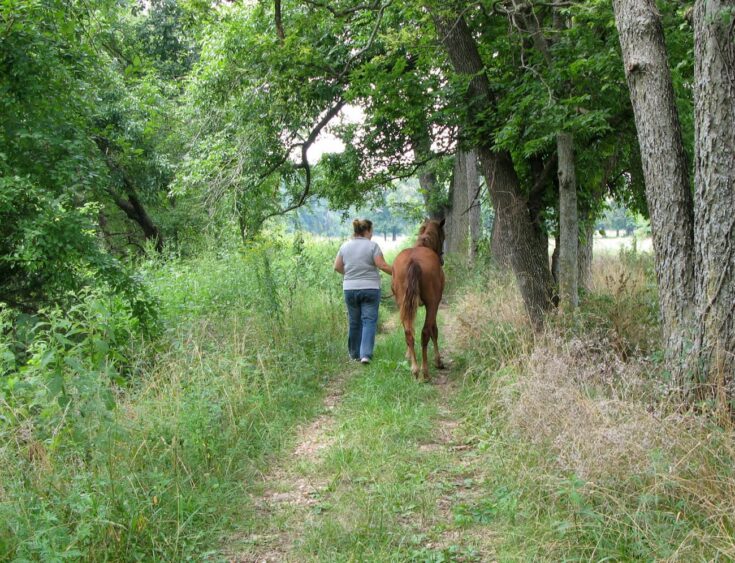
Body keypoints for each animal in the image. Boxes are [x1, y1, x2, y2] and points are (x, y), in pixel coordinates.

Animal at [391, 218, 446, 381]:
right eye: (443, 237)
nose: (442, 260)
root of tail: (413, 260)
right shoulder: (435, 304)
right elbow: (434, 330)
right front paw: (438, 361)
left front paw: (408, 356)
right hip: (431, 304)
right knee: (425, 333)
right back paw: (425, 372)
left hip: (402, 303)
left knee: (409, 333)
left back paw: (415, 369)